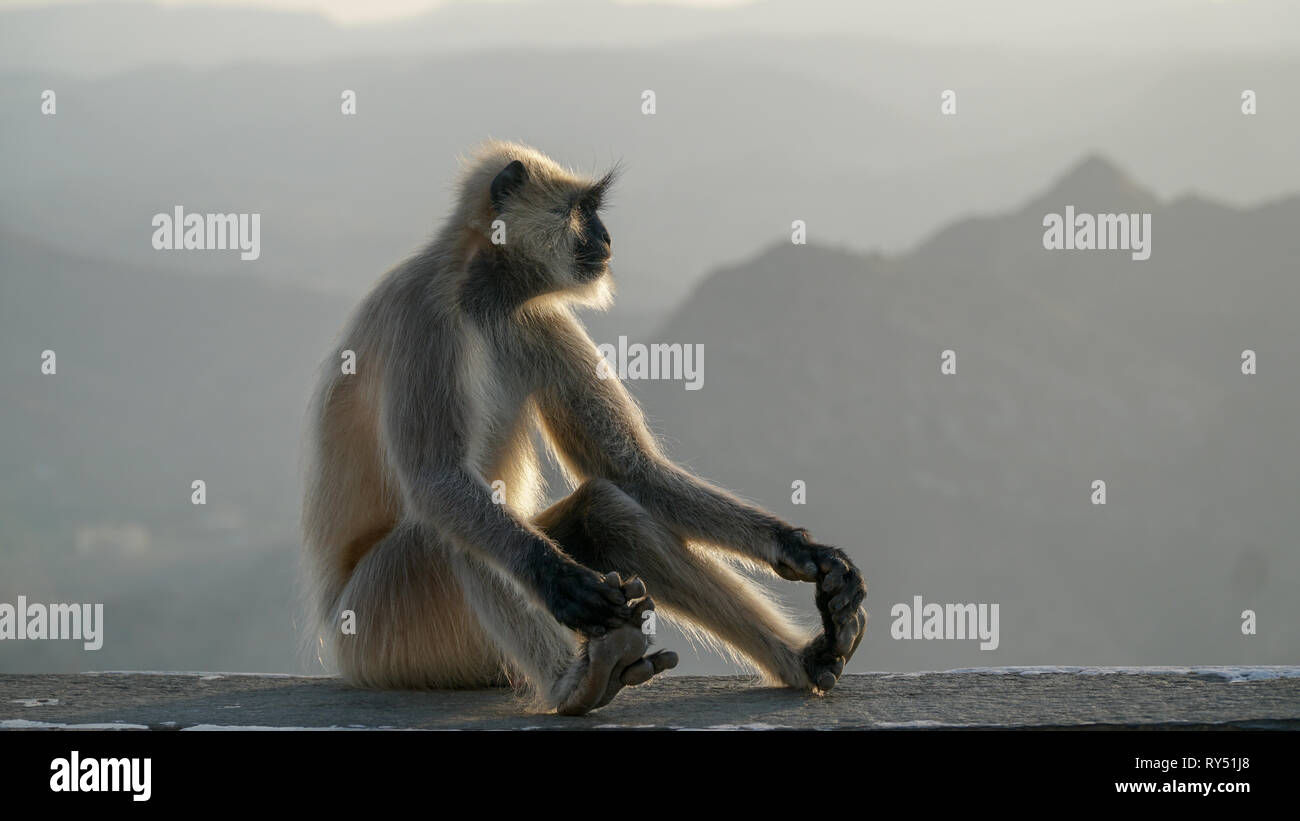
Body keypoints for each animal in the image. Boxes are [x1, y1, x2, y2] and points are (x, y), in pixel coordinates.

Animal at [301, 140, 868, 715]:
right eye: (584, 209)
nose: (607, 238)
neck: (485, 292)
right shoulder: (425, 314)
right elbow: (436, 478)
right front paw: (561, 582)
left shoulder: (540, 318)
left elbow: (629, 471)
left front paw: (804, 552)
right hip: (383, 631)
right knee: (440, 523)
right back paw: (573, 683)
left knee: (606, 509)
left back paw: (805, 660)